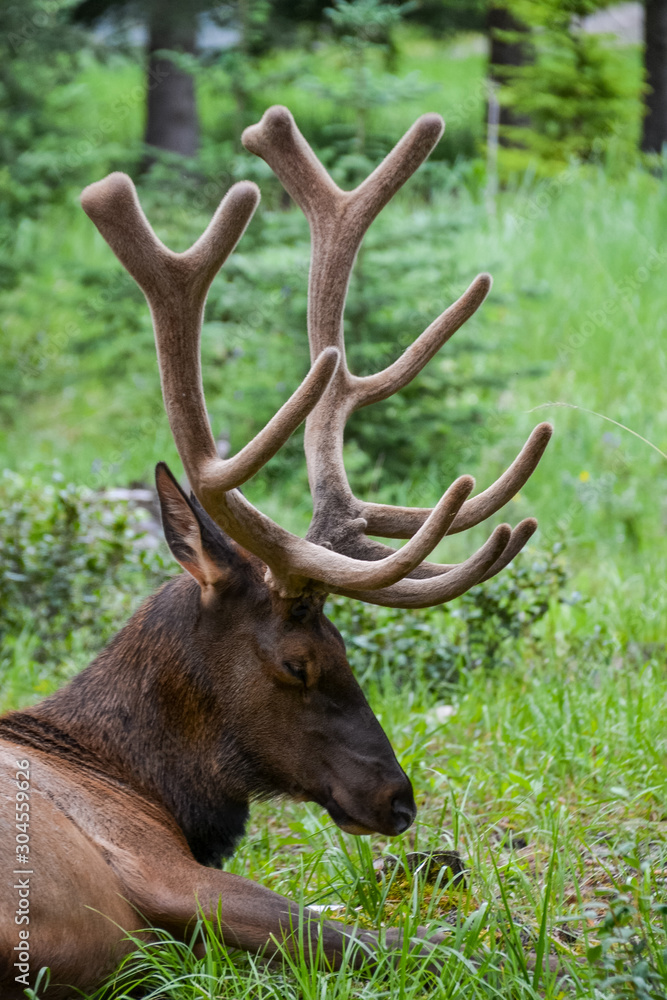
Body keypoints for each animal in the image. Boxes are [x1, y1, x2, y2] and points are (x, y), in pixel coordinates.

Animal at [0, 106, 552, 999]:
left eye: (345, 644)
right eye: (299, 661)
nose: (397, 799)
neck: (133, 775)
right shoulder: (158, 866)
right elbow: (378, 941)